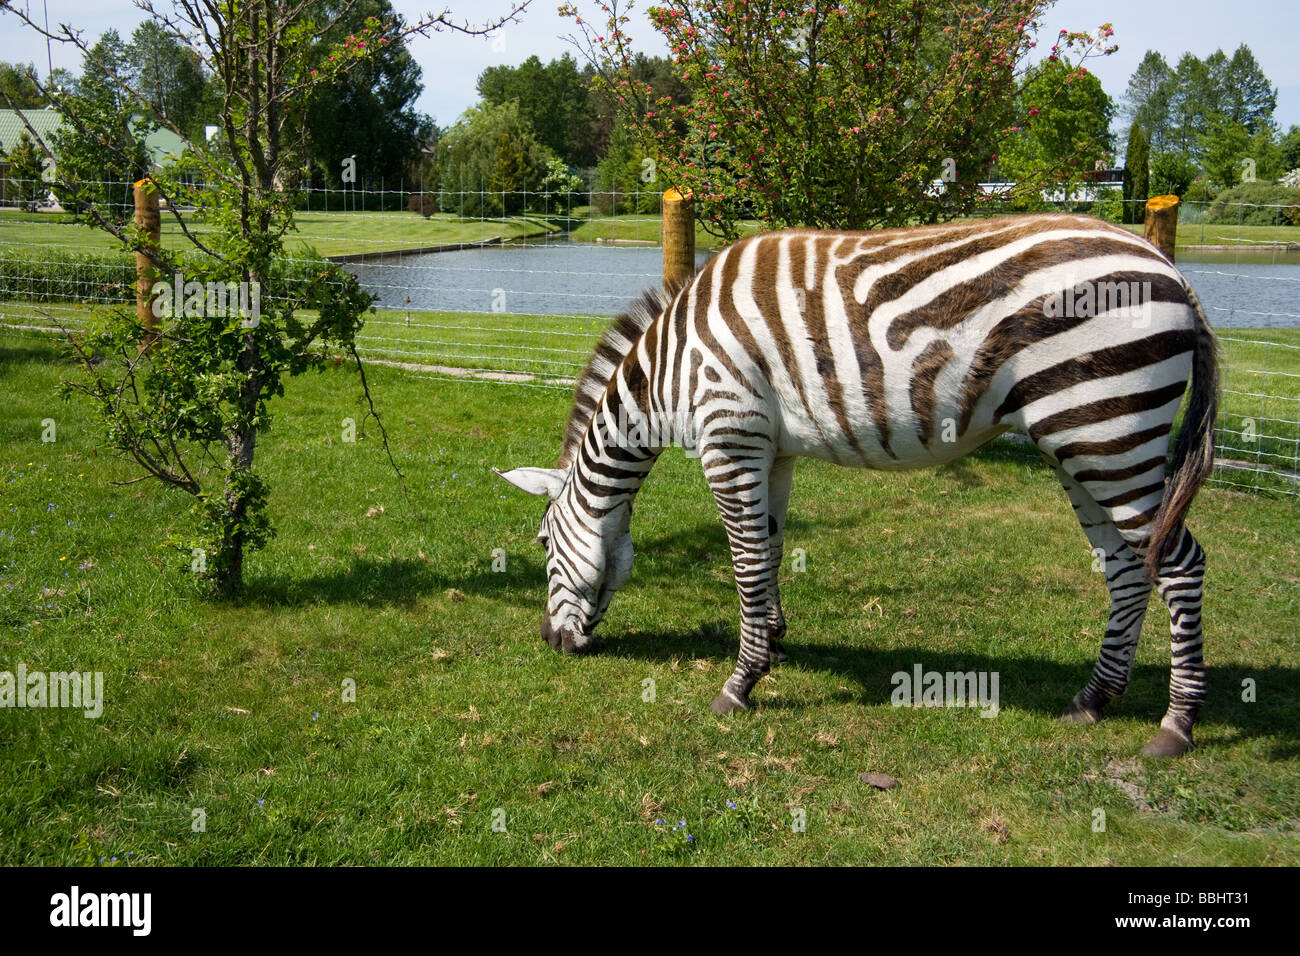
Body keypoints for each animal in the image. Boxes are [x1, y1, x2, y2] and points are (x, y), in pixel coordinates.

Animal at [496, 213, 1219, 758]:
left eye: (541, 545)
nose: (550, 643)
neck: (672, 367)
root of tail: (1172, 268)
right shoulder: (772, 449)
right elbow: (772, 549)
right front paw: (774, 643)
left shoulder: (728, 437)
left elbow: (746, 562)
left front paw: (738, 684)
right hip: (1086, 443)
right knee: (1126, 569)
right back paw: (1094, 700)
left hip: (1107, 432)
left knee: (1181, 563)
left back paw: (1176, 726)